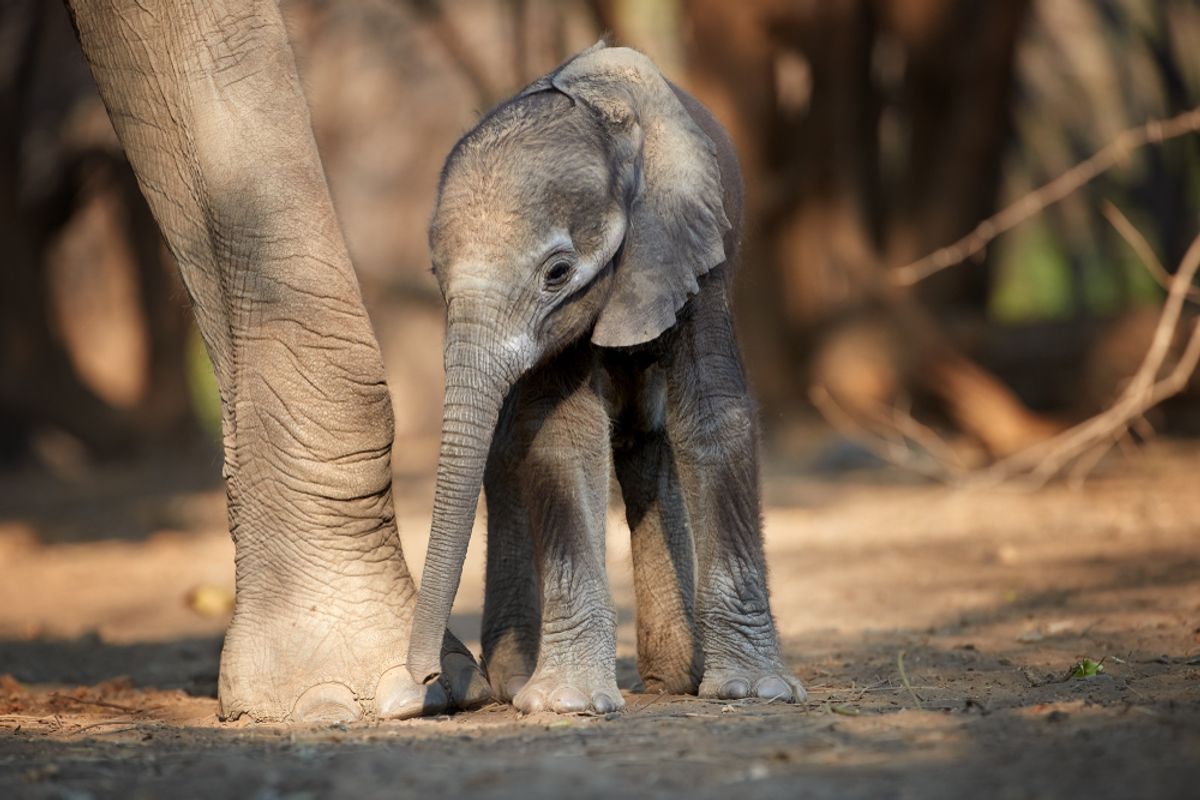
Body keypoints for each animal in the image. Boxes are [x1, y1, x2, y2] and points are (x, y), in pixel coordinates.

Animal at [406, 43, 807, 714]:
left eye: (557, 273)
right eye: (435, 272)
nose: (424, 678)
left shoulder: (692, 247)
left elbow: (712, 414)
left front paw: (757, 691)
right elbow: (564, 437)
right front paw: (563, 702)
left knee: (650, 438)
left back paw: (676, 679)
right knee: (509, 446)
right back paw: (522, 680)